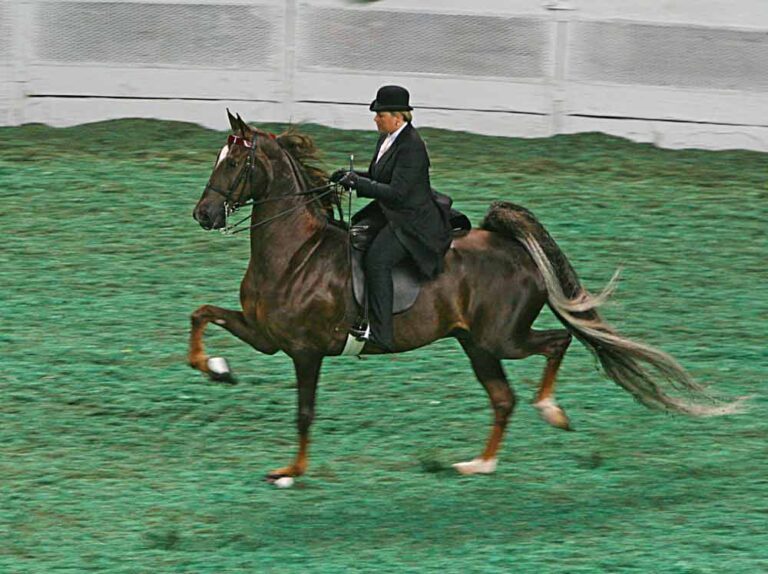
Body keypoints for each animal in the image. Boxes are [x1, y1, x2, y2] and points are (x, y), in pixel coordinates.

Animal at [189, 111, 743, 485]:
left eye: (235, 162)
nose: (204, 215)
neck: (295, 254)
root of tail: (512, 246)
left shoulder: (305, 351)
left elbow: (304, 413)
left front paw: (290, 472)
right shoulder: (266, 336)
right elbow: (202, 314)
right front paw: (218, 368)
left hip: (501, 338)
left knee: (556, 343)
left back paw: (550, 412)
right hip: (475, 343)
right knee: (503, 397)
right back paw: (480, 463)